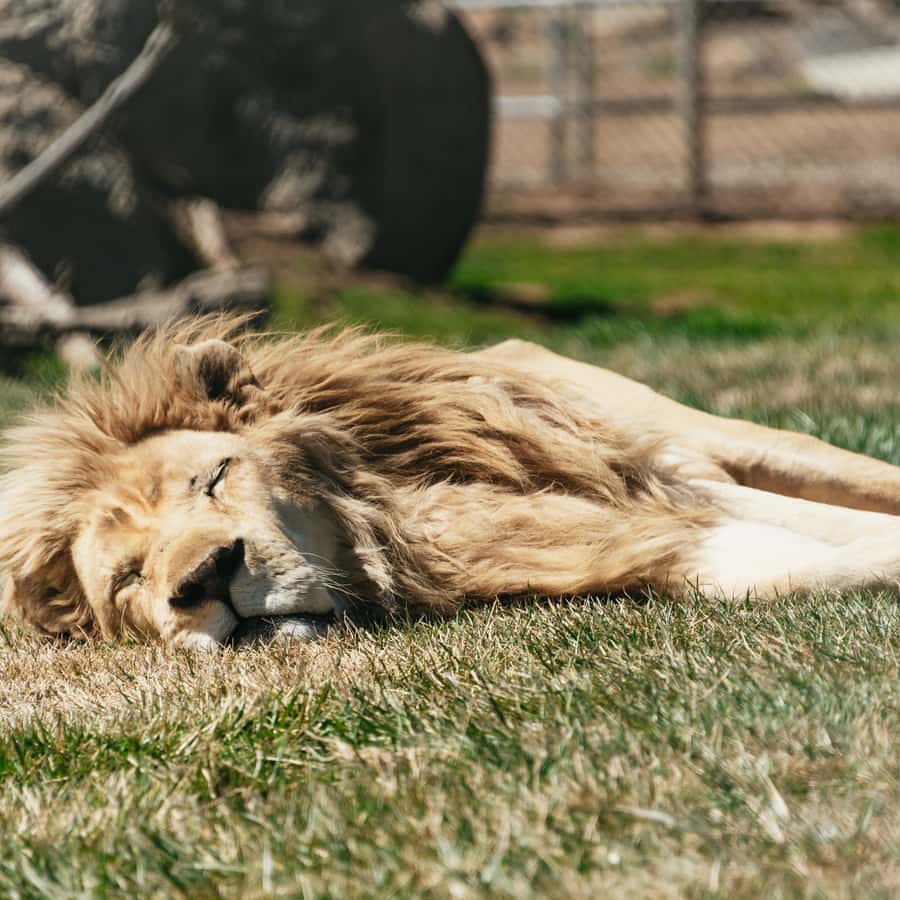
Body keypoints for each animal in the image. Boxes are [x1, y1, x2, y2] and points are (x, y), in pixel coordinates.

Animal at [2, 317, 900, 649]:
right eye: (128, 578)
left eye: (215, 476)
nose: (204, 579)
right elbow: (770, 566)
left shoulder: (657, 479)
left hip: (729, 441)